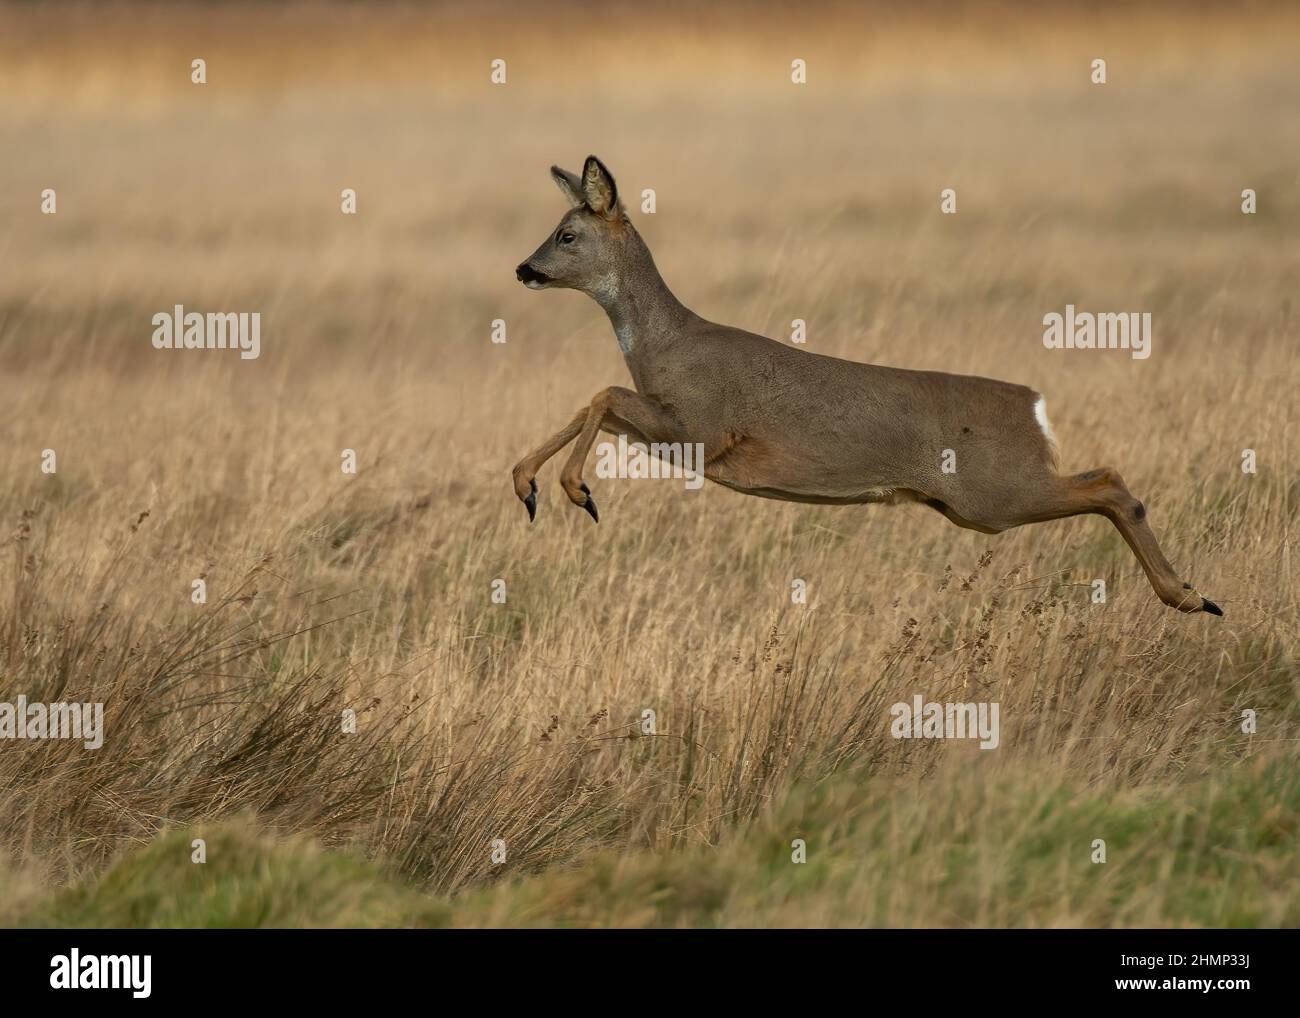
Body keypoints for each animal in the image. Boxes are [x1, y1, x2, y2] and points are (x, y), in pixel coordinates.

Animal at [511, 155, 1222, 617]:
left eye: (567, 234)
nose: (524, 269)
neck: (663, 345)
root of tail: (1034, 405)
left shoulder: (702, 425)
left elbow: (602, 394)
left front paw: (577, 491)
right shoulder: (669, 428)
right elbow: (595, 403)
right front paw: (527, 486)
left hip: (992, 494)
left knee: (1111, 484)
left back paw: (1192, 597)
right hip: (979, 501)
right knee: (1106, 480)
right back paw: (1193, 597)